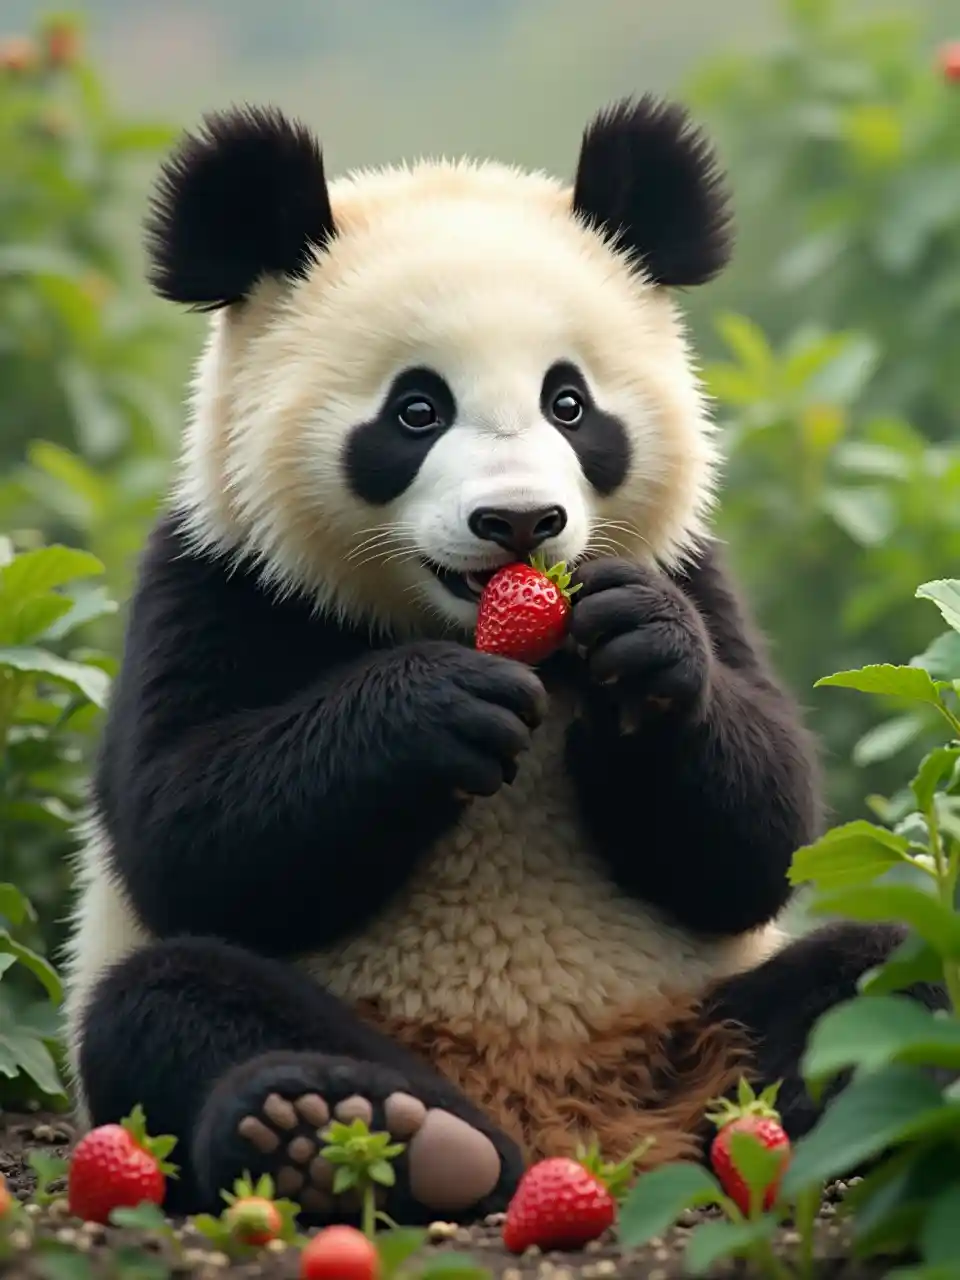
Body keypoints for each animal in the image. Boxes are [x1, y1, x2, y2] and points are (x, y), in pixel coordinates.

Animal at [61, 96, 943, 1224]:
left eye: (571, 403)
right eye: (416, 410)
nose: (520, 520)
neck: (453, 620)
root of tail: (577, 1122)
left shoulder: (694, 567)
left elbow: (755, 840)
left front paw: (644, 654)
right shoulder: (220, 575)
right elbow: (185, 831)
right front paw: (431, 712)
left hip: (698, 1018)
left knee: (882, 982)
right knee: (169, 999)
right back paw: (355, 1132)